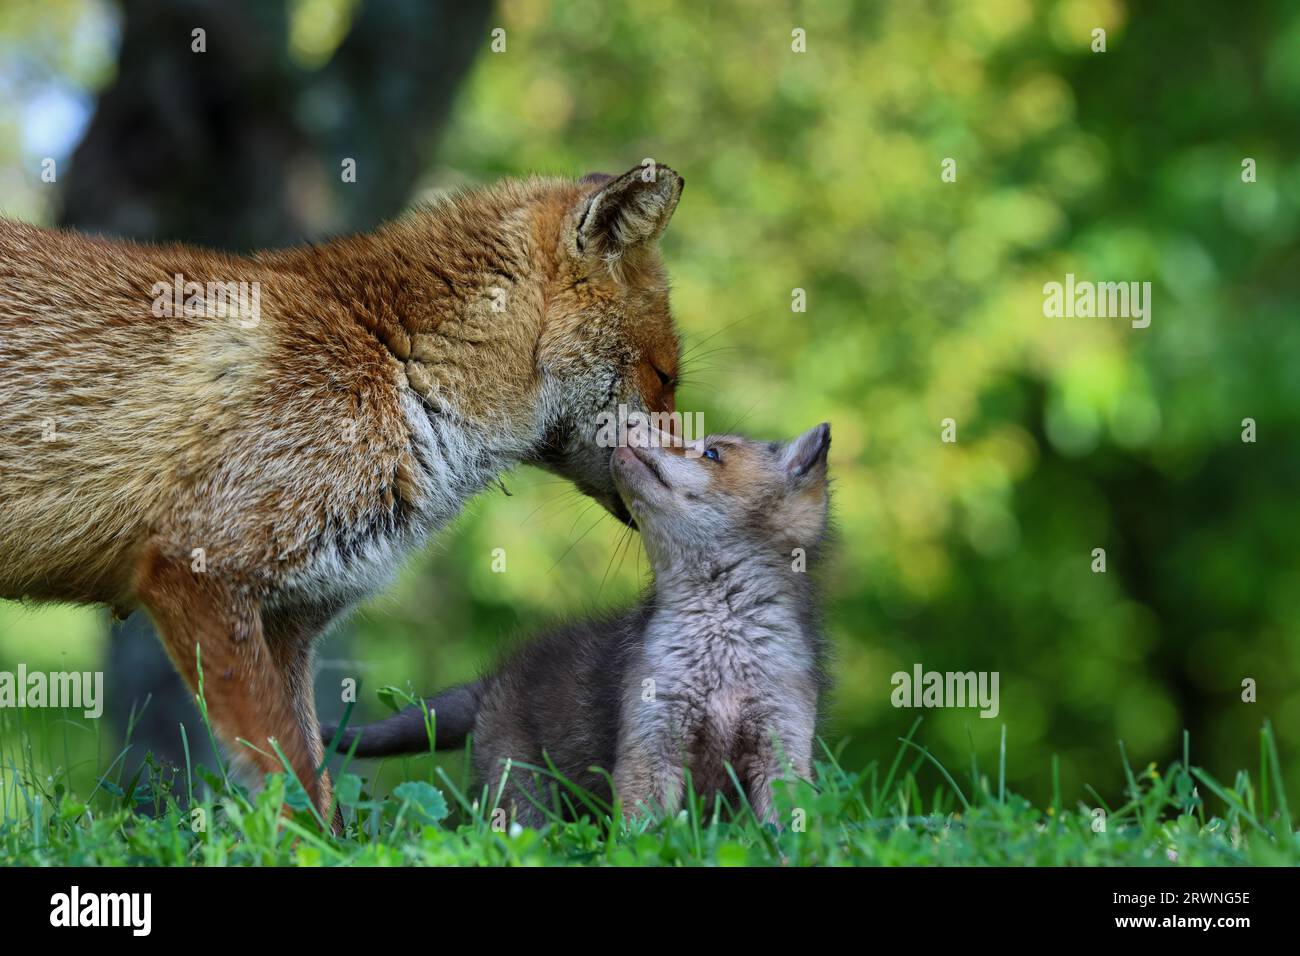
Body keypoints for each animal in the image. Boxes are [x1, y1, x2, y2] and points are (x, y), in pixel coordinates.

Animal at [0, 163, 686, 821]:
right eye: (665, 376)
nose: (700, 454)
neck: (396, 365)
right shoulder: (197, 568)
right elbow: (289, 785)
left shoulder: (289, 623)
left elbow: (319, 790)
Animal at [325, 422, 832, 826]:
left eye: (712, 454)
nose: (631, 423)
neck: (721, 641)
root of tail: (492, 683)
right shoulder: (652, 743)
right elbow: (641, 833)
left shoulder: (780, 747)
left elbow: (790, 830)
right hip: (523, 791)